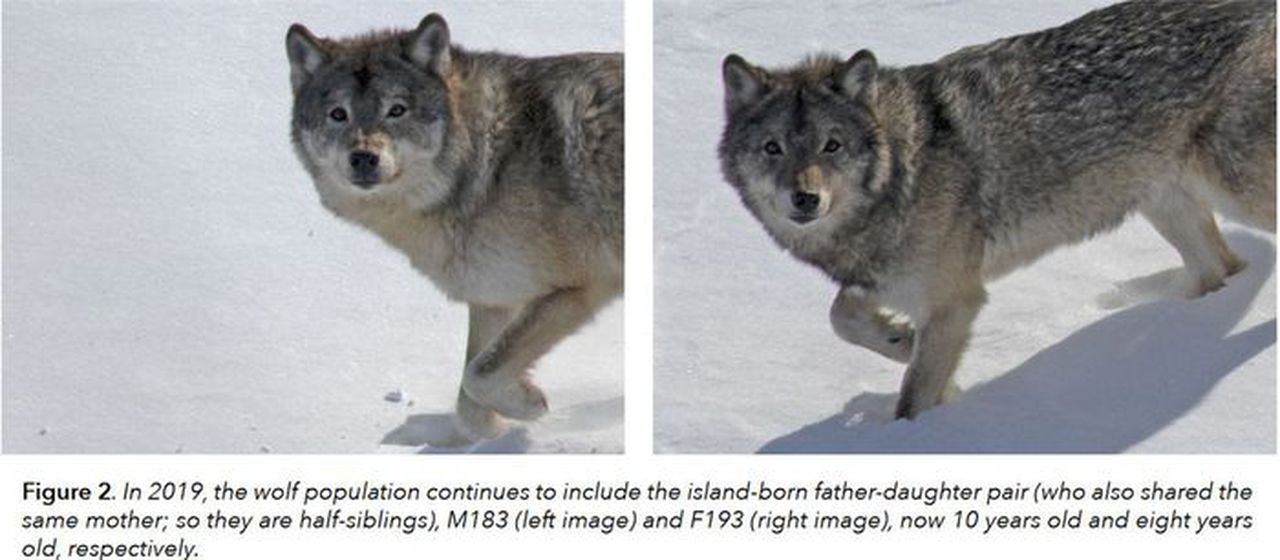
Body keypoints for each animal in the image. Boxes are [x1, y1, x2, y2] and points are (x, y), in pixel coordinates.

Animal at [287, 13, 623, 440]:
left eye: (396, 110)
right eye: (338, 114)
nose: (363, 157)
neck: (489, 164)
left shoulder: (585, 286)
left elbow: (479, 374)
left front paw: (531, 406)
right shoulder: (493, 296)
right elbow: (469, 400)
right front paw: (497, 436)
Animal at [719, 0, 1275, 419]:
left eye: (831, 146)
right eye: (773, 149)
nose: (805, 199)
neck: (904, 165)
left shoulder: (955, 299)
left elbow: (911, 402)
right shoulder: (896, 284)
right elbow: (842, 316)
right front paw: (899, 340)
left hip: (1232, 188)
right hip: (1168, 206)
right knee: (1224, 269)